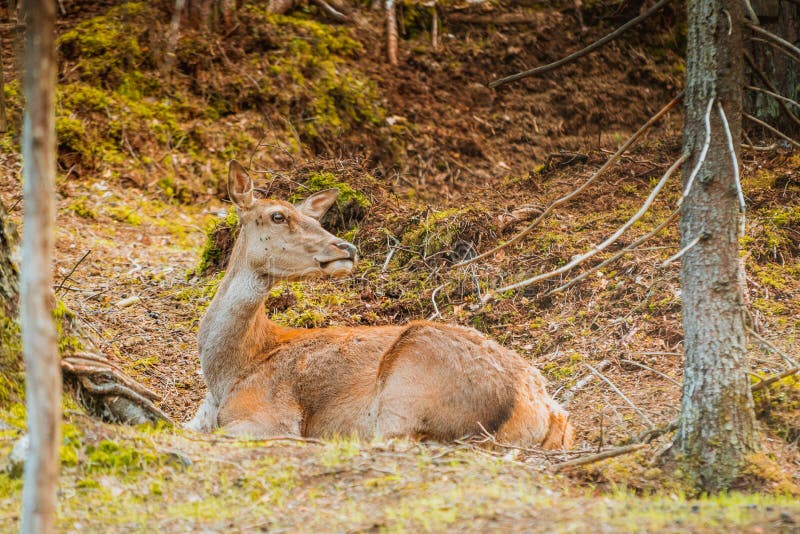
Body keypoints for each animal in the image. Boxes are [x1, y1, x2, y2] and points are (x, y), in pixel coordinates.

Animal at [185, 160, 574, 449]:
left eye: (314, 219)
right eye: (278, 215)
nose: (346, 247)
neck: (228, 373)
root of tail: (545, 411)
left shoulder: (270, 415)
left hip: (411, 385)